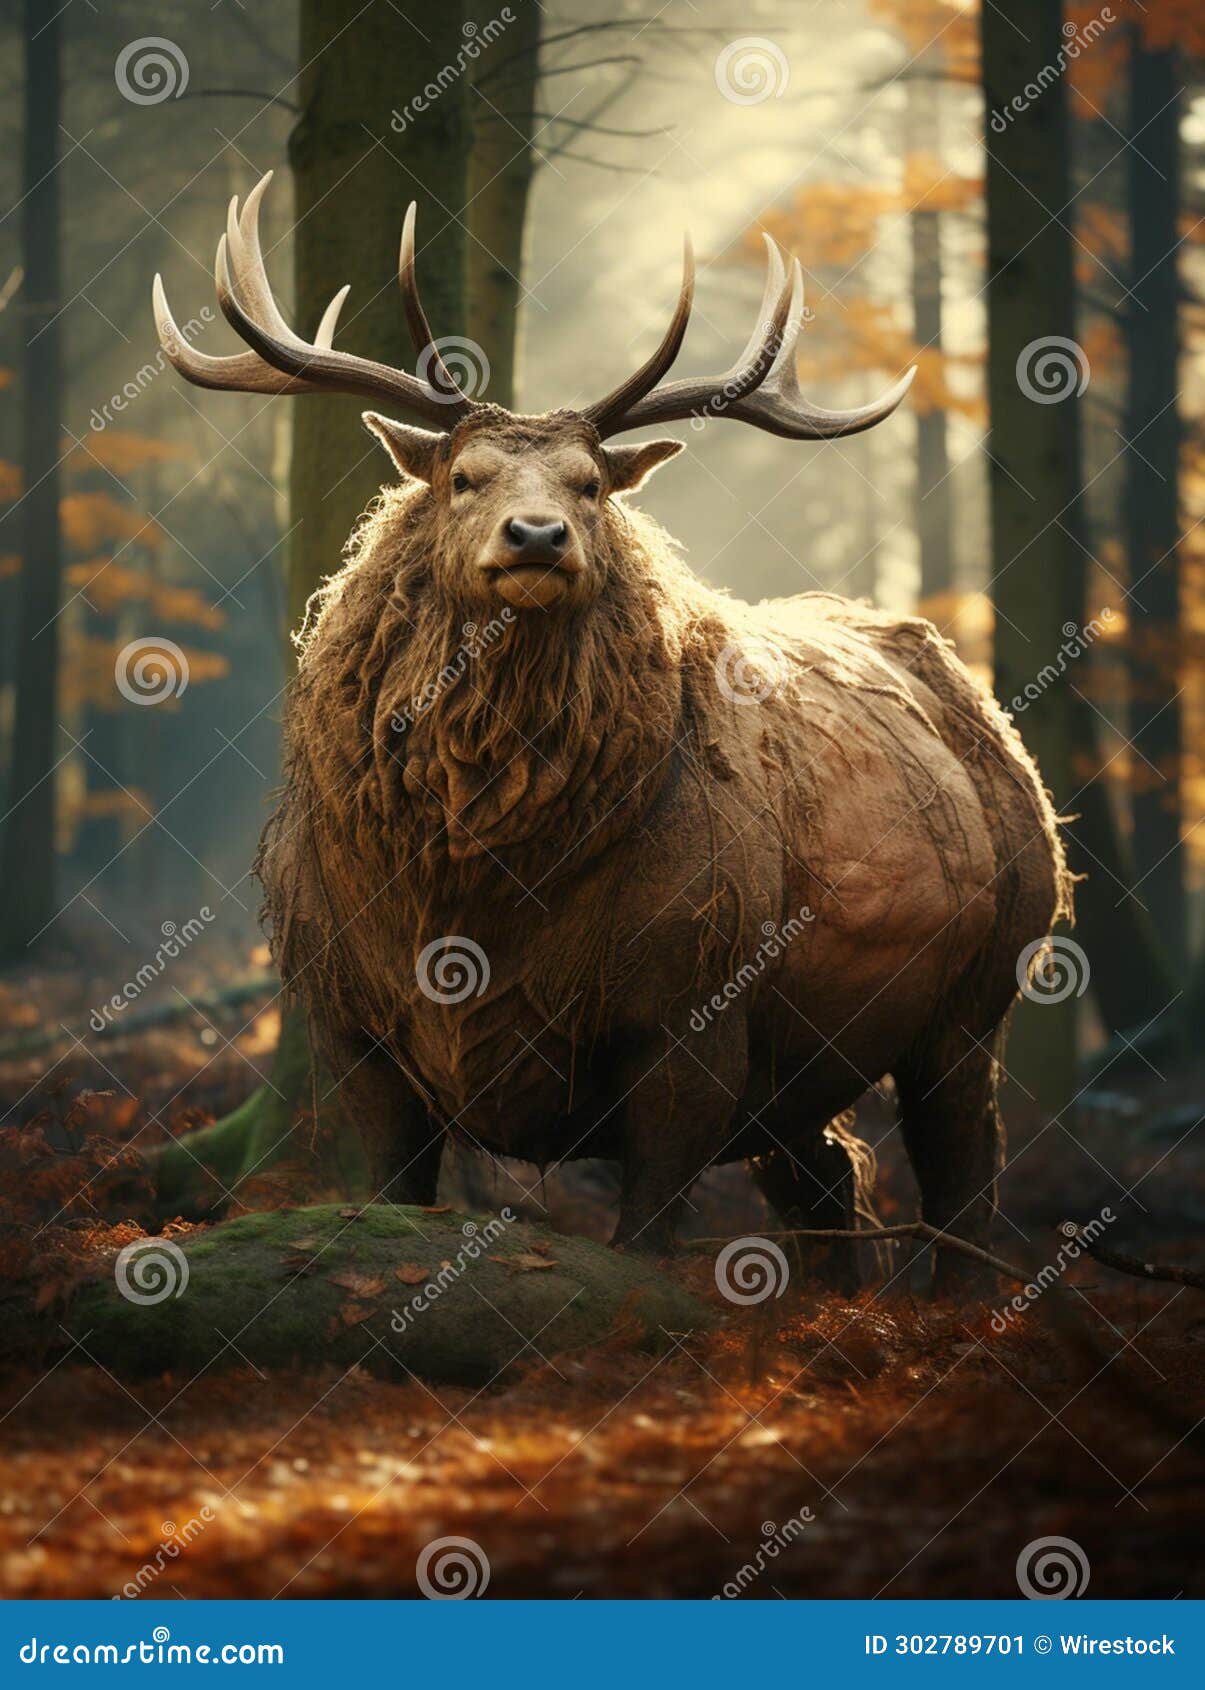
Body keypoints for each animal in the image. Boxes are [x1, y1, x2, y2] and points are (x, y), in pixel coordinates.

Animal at [154, 172, 1070, 1295]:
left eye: (589, 484)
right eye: (462, 476)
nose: (537, 535)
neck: (465, 899)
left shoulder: (696, 1007)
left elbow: (648, 1235)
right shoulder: (345, 1018)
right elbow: (391, 1192)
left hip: (984, 981)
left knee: (962, 1167)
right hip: (806, 1060)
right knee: (829, 1174)